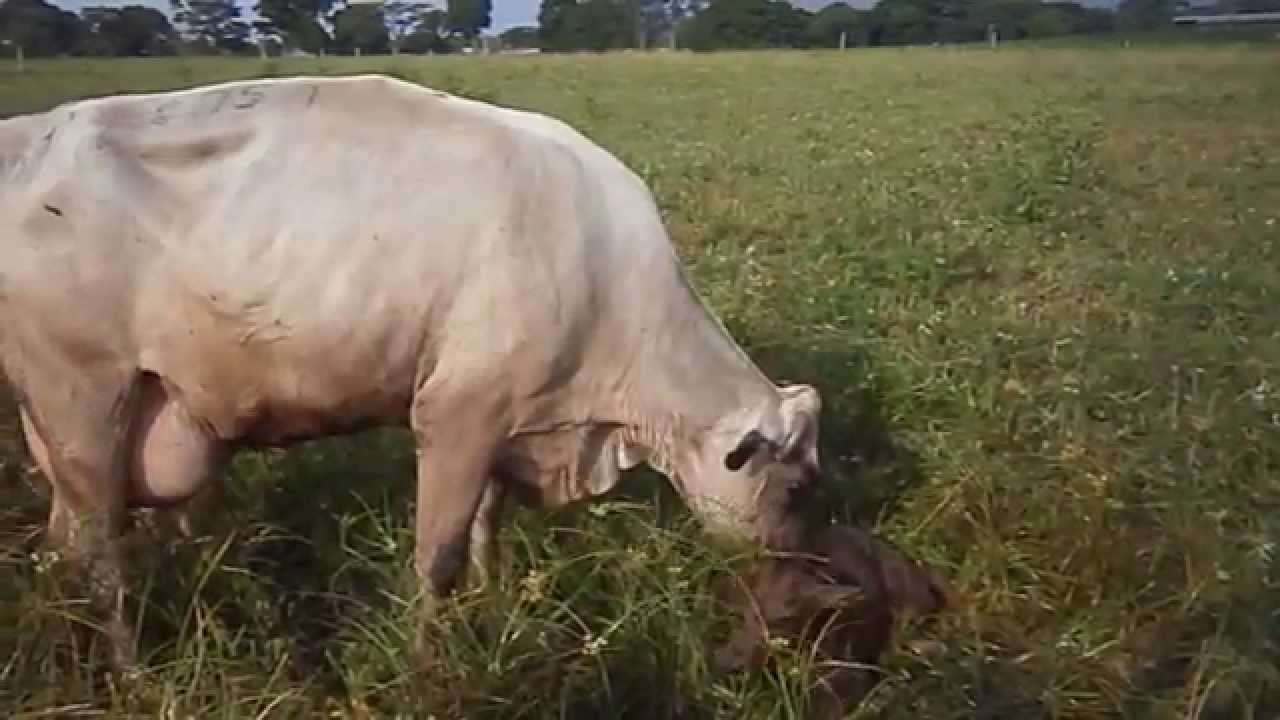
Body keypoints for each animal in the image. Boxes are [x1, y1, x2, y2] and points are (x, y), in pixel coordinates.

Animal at [0, 74, 828, 671]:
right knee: (100, 555)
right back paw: (130, 669)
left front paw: (494, 607)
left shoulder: (507, 416)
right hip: (83, 401)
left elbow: (488, 526)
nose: (792, 566)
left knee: (63, 546)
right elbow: (439, 555)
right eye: (792, 487)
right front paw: (432, 659)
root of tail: (31, 132)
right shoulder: (456, 414)